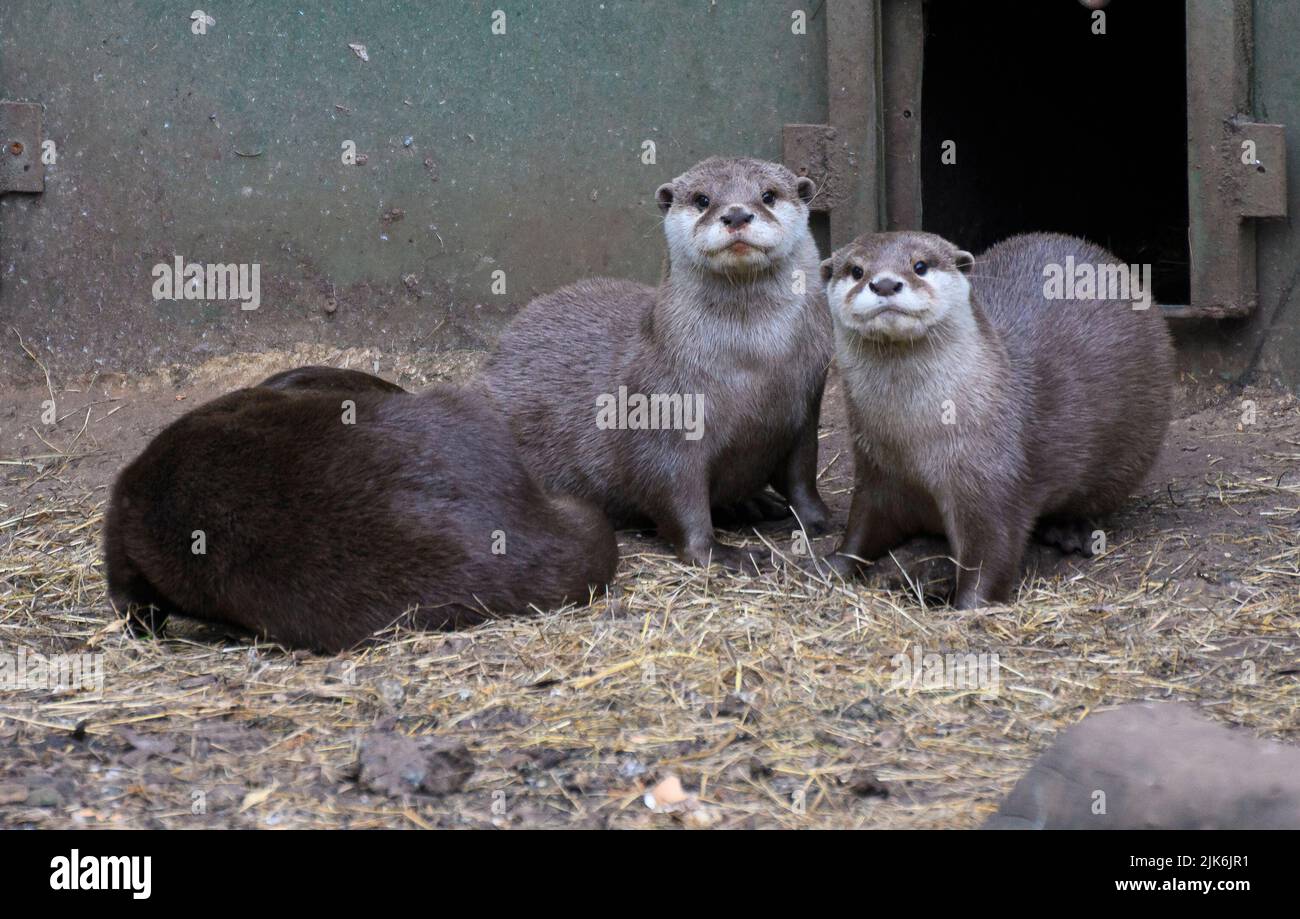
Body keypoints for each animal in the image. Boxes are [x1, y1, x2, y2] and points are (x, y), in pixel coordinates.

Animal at [483, 157, 833, 571]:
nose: (735, 214)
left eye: (768, 195)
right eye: (702, 199)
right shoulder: (660, 410)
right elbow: (673, 489)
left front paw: (816, 518)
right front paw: (718, 552)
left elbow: (802, 472)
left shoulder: (806, 404)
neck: (757, 367)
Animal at [819, 231, 1173, 608]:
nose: (885, 283)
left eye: (920, 265)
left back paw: (1069, 530)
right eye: (856, 270)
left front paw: (971, 605)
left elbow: (993, 551)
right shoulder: (876, 471)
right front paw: (832, 564)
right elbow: (861, 529)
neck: (913, 441)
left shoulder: (990, 481)